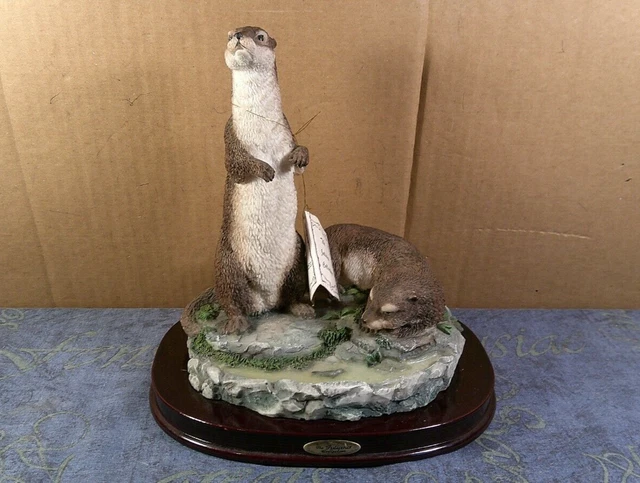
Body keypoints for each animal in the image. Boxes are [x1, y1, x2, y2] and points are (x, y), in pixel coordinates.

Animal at [212, 26, 314, 334]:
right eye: (229, 34)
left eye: (260, 35)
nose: (237, 37)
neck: (262, 129)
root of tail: (265, 301)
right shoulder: (230, 137)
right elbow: (236, 165)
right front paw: (265, 169)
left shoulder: (287, 131)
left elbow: (299, 157)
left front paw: (300, 157)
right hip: (226, 263)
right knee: (230, 296)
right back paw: (236, 321)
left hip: (297, 253)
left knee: (292, 292)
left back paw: (301, 308)